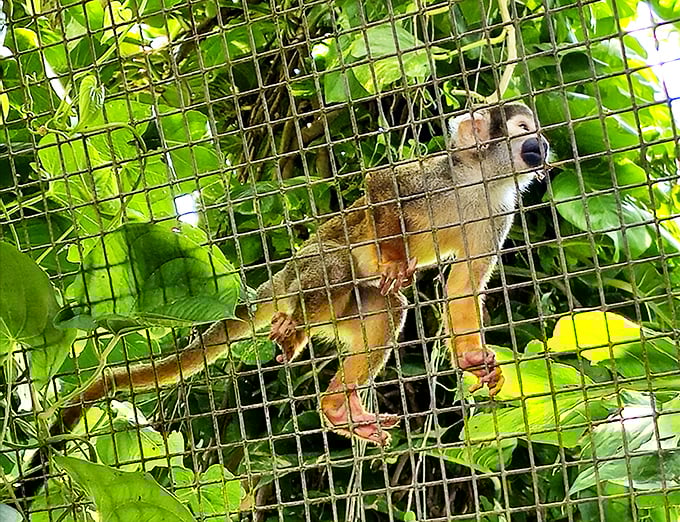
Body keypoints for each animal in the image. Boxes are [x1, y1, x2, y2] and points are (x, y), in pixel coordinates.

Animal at [16, 102, 548, 499]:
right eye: (524, 131)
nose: (541, 146)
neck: (475, 182)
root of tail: (286, 276)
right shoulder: (430, 177)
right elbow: (380, 188)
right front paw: (397, 255)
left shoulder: (497, 212)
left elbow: (462, 287)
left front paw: (474, 360)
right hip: (306, 267)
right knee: (334, 266)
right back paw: (296, 326)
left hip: (346, 310)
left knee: (385, 309)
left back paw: (336, 404)